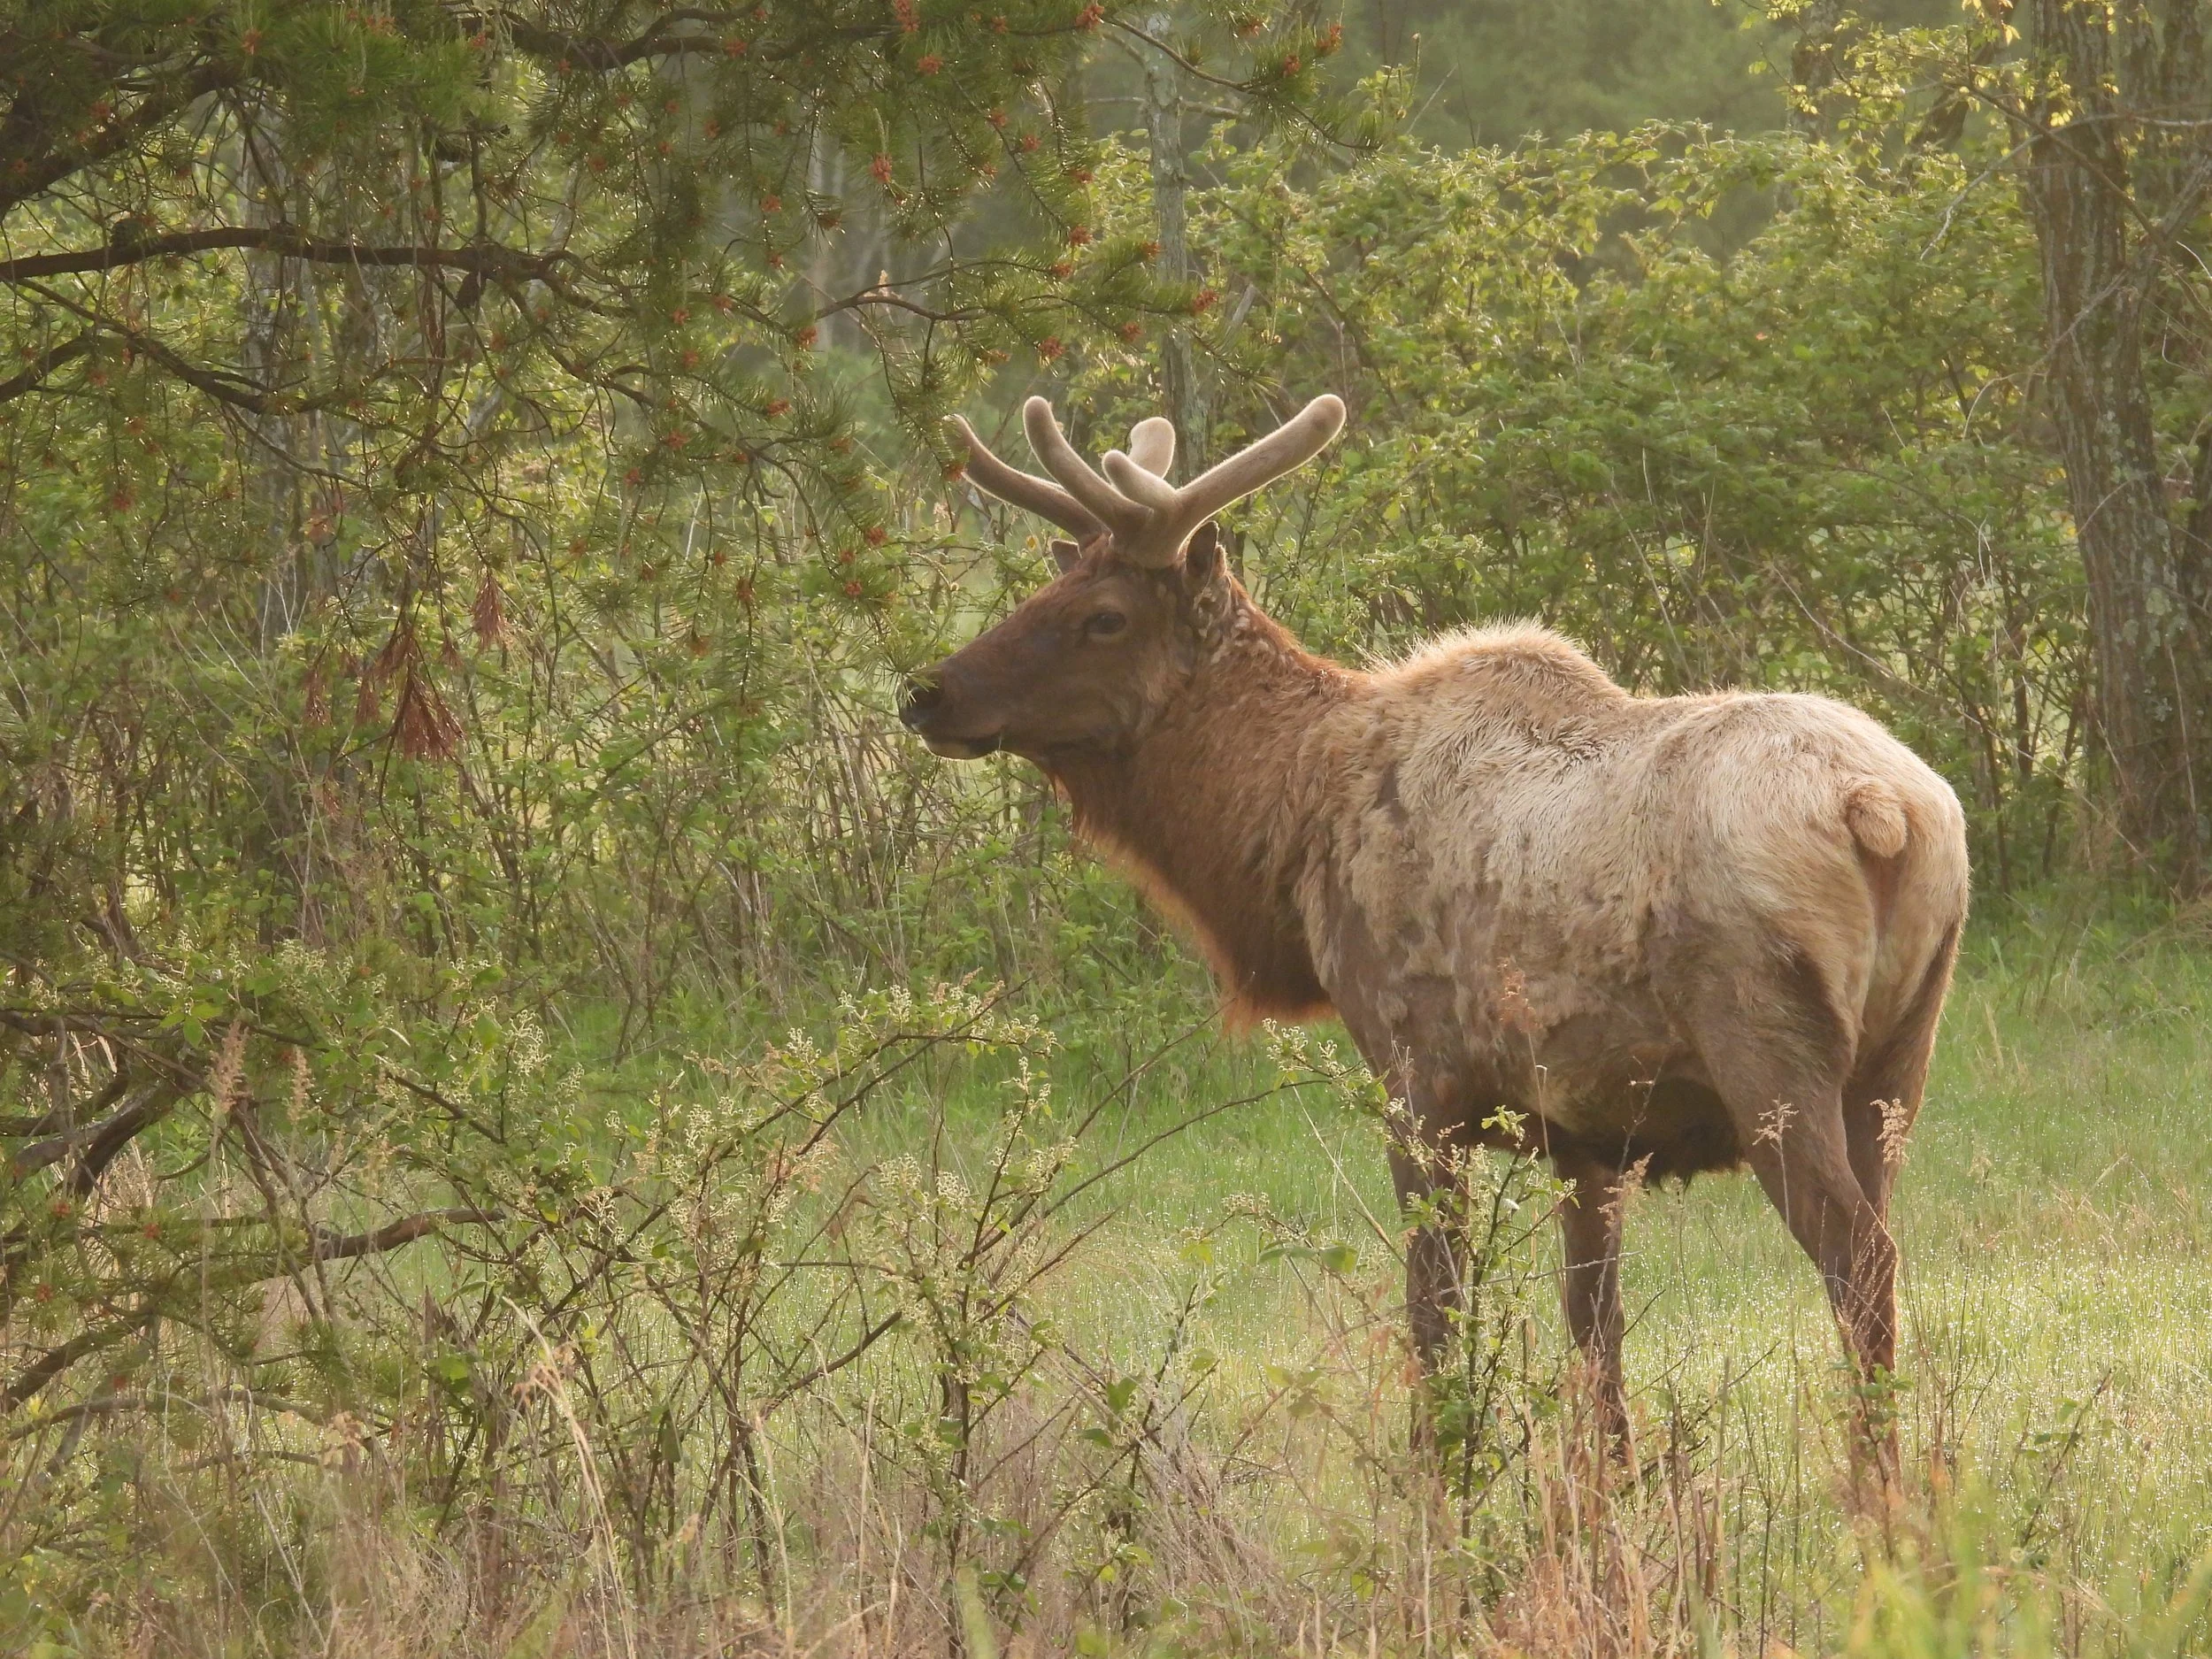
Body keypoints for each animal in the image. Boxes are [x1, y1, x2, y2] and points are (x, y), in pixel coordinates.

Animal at [901, 392, 1970, 1461]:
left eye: (1104, 617)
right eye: (1054, 586)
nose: (926, 690)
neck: (1292, 831)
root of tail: (1884, 811)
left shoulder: (1418, 1073)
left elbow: (1437, 1313)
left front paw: (1438, 1474)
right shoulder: (1589, 1127)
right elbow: (1596, 1334)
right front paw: (1610, 1482)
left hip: (1767, 1048)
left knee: (1856, 1257)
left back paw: (1871, 1479)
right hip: (1899, 1060)